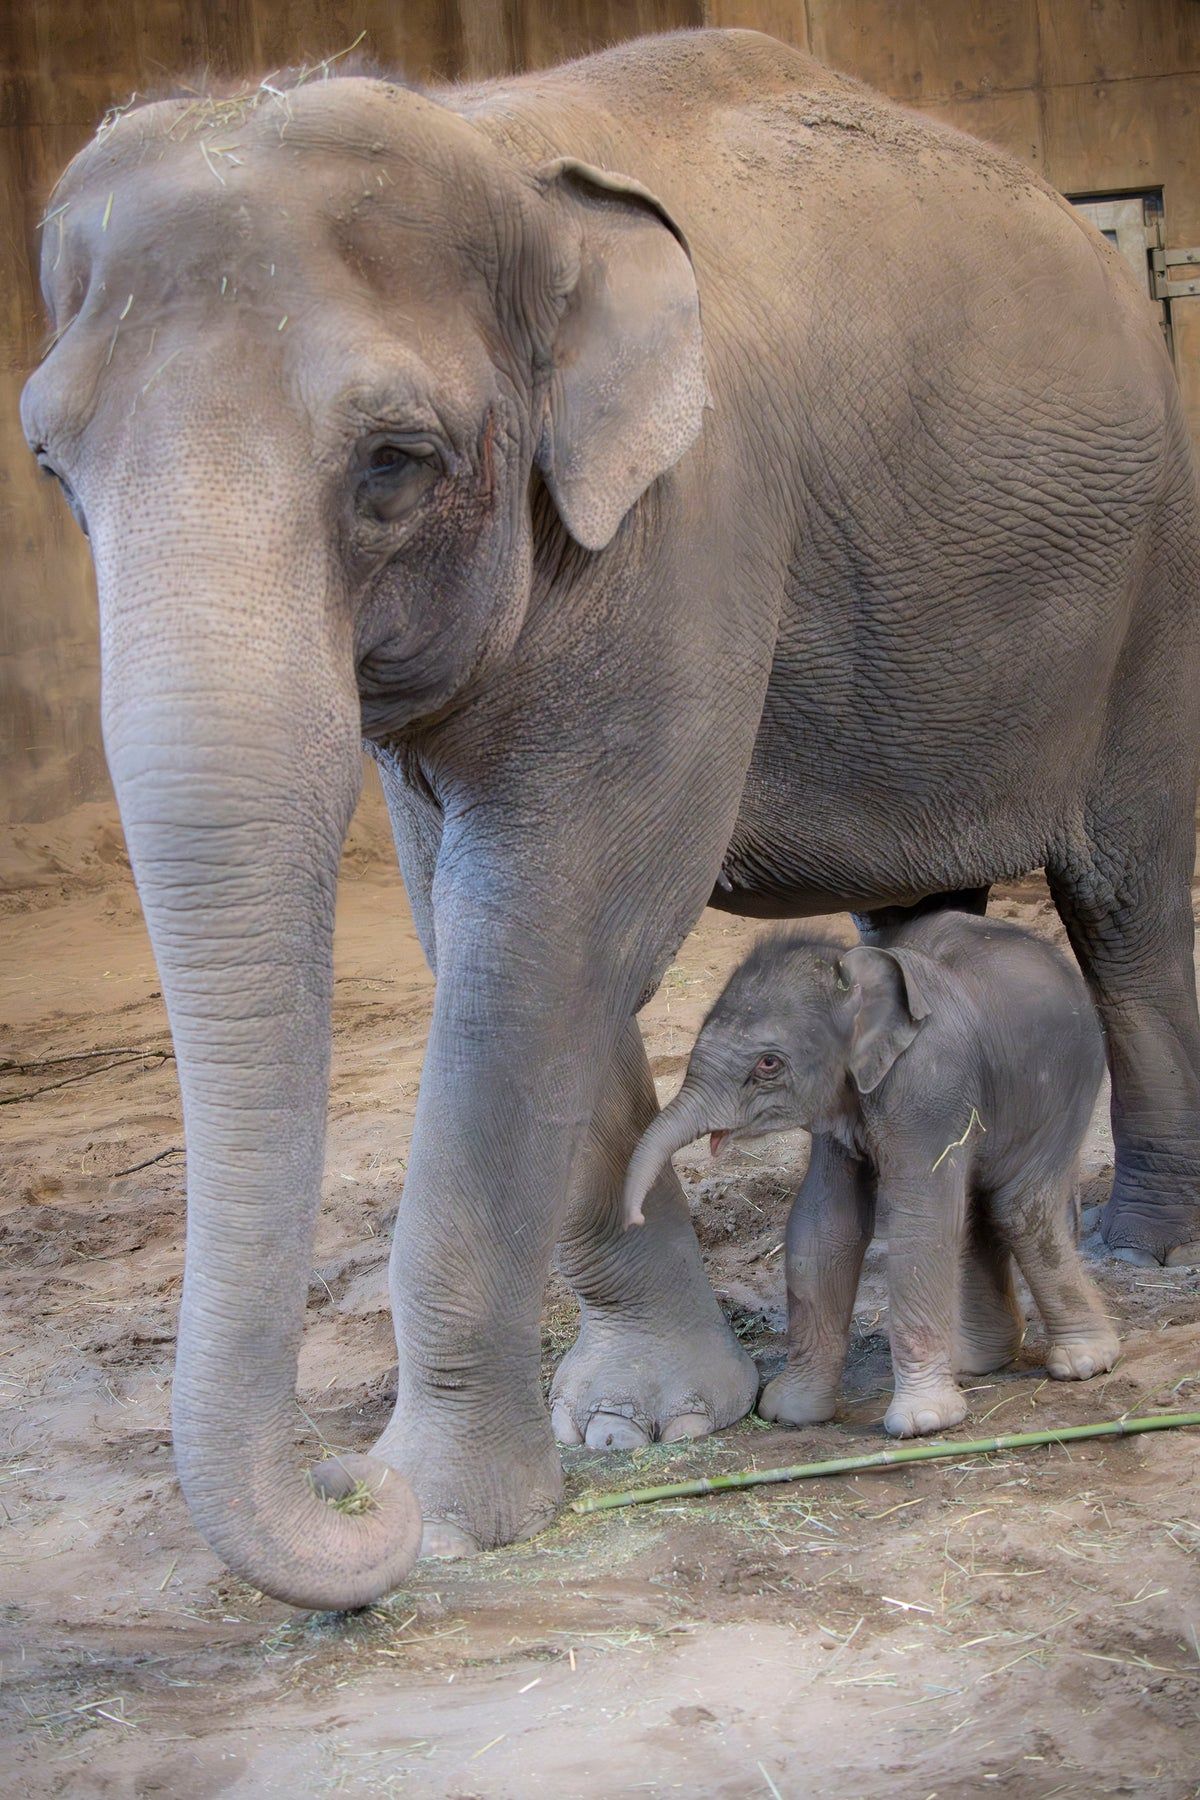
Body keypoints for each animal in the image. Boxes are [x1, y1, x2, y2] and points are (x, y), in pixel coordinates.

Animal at [622, 911, 1120, 1437]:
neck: (853, 975)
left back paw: (1084, 1363)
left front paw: (922, 1423)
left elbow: (921, 1221)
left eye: (768, 1063)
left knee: (1019, 1207)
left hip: (1068, 1086)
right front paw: (790, 1412)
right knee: (978, 1206)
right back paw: (980, 1362)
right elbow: (824, 1224)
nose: (633, 1218)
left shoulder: (930, 1085)